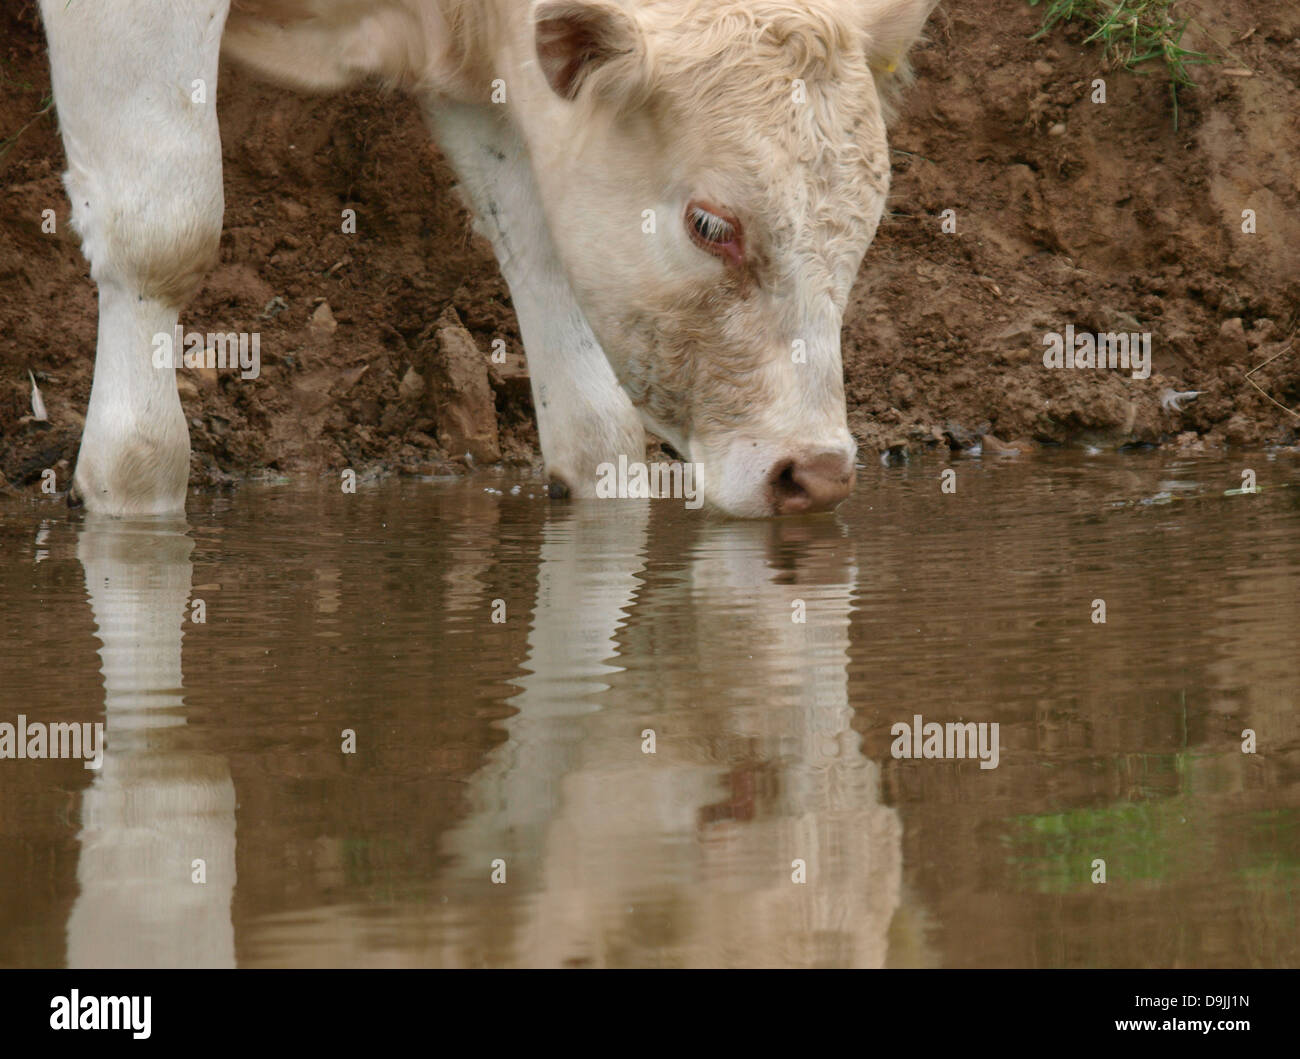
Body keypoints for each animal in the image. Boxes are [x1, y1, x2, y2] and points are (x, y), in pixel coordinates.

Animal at [38, 0, 936, 518]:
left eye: (866, 229)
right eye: (711, 225)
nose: (814, 474)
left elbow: (544, 268)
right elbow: (165, 228)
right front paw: (127, 473)